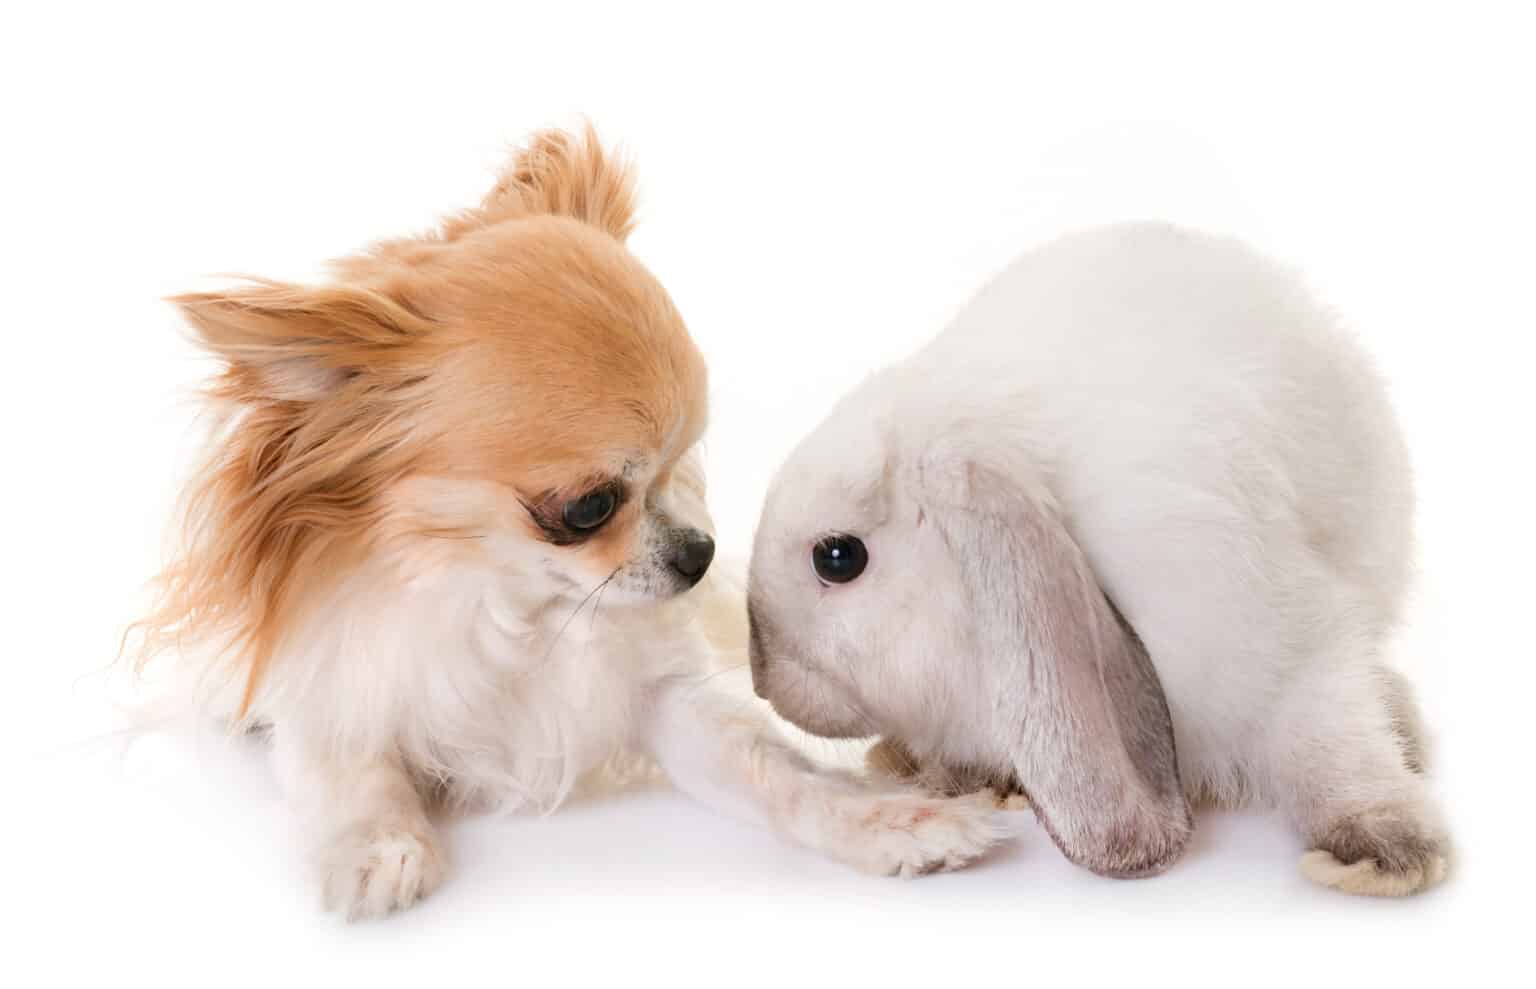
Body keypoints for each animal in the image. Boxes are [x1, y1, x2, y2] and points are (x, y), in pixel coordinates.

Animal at [745, 222, 1449, 895]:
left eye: (838, 558)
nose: (761, 677)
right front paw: (962, 782)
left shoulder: (1284, 644)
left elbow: (1330, 741)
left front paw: (1385, 854)